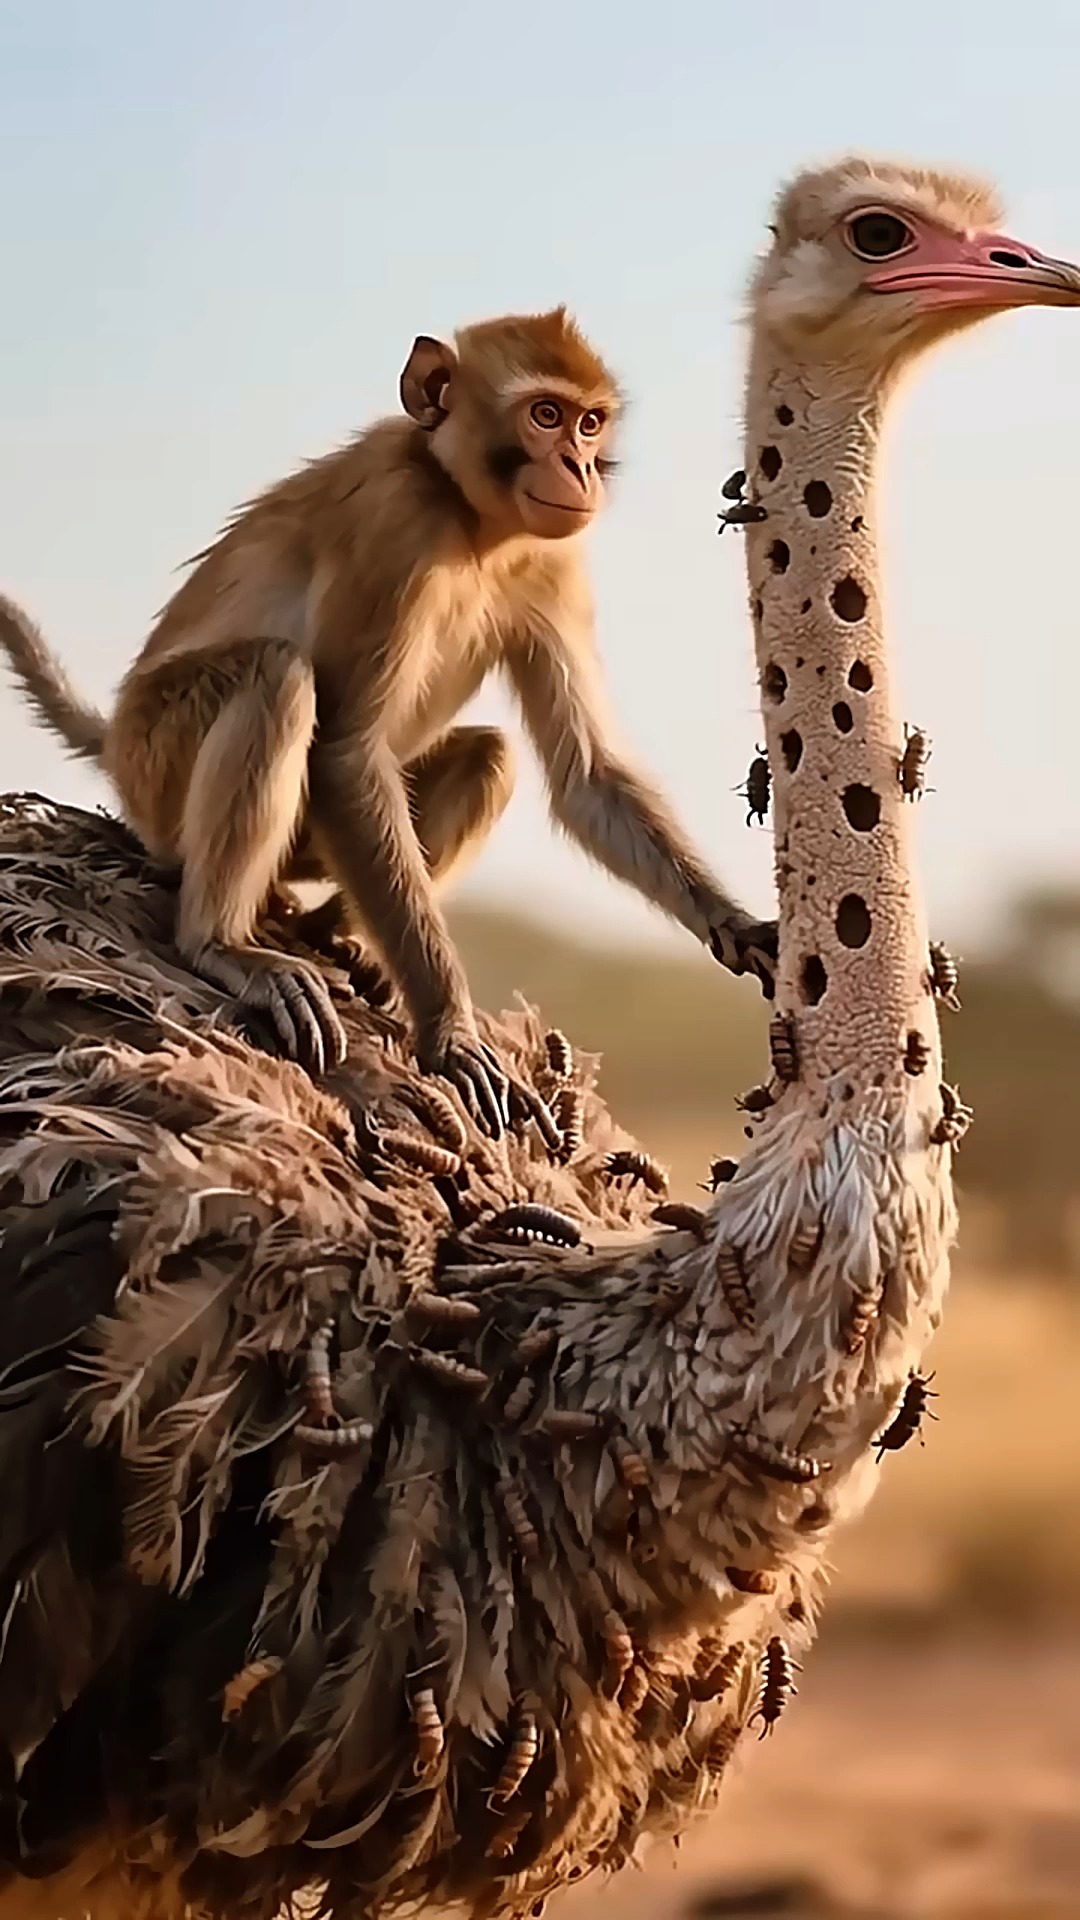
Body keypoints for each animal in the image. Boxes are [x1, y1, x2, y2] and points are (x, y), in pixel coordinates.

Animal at [0, 308, 777, 1135]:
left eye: (590, 422)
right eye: (545, 415)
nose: (580, 466)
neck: (471, 522)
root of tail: (115, 744)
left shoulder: (555, 561)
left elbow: (588, 773)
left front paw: (735, 927)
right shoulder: (395, 520)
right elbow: (346, 751)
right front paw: (450, 1032)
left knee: (489, 757)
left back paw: (329, 937)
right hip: (158, 767)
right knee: (277, 677)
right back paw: (222, 943)